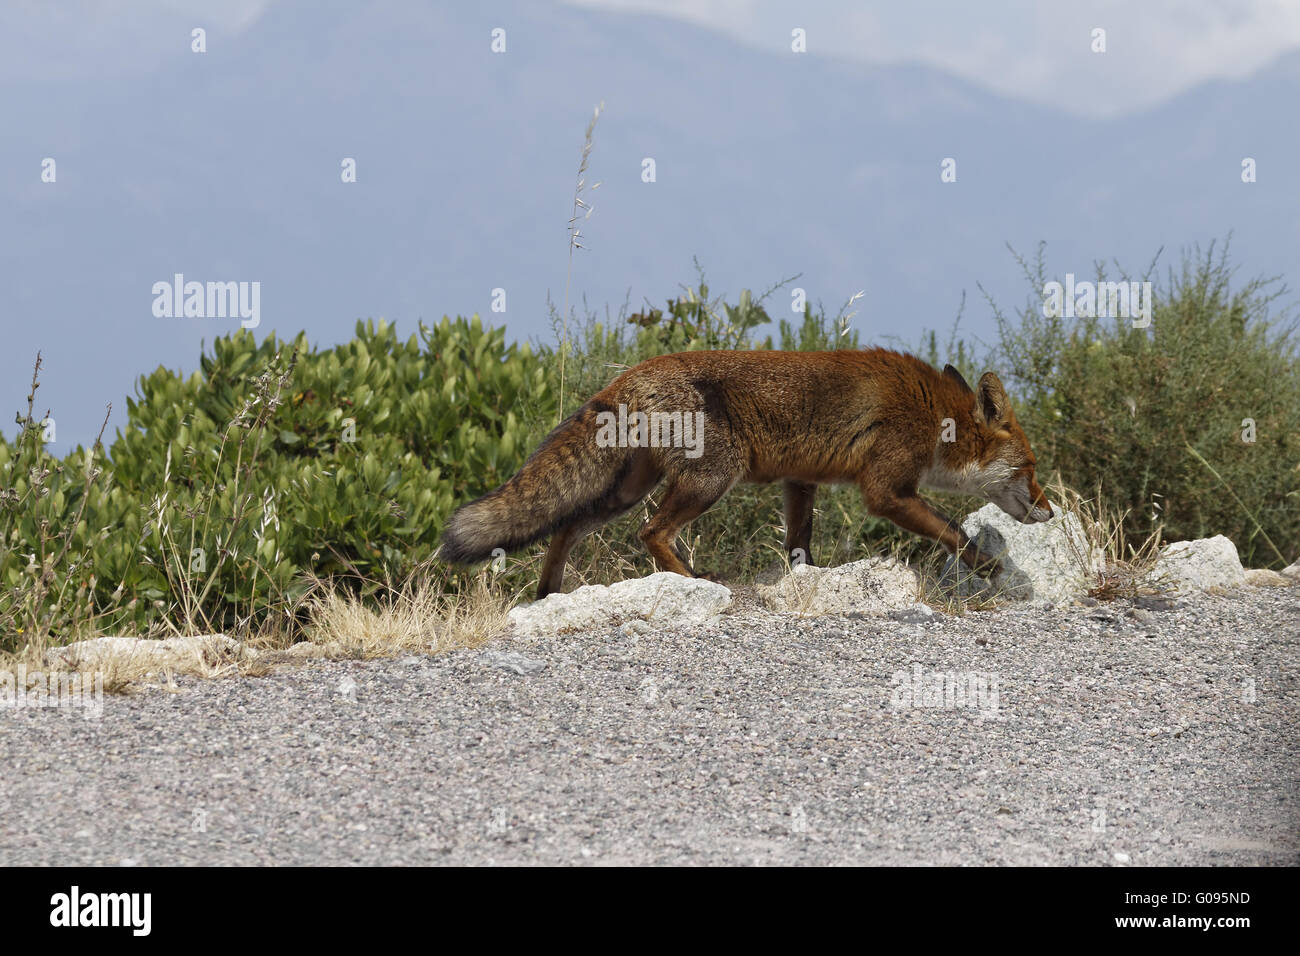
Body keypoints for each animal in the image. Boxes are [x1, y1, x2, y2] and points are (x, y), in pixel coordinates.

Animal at [439, 348, 1054, 599]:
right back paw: (694, 583)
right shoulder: (886, 492)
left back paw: (547, 594)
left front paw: (805, 581)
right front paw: (991, 571)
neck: (932, 417)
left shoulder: (800, 481)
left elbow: (800, 546)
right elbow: (955, 531)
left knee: (567, 527)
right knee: (651, 533)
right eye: (1030, 467)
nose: (1049, 510)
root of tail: (627, 375)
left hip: (627, 491)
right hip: (712, 478)